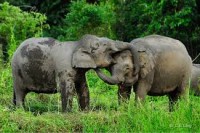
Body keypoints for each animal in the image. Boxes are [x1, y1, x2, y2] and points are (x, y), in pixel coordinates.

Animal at [10, 34, 139, 111]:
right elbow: (67, 89)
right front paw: (67, 114)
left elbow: (83, 88)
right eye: (106, 46)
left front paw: (85, 112)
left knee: (16, 93)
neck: (77, 44)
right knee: (20, 92)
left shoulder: (79, 72)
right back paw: (22, 112)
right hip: (17, 72)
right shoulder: (64, 69)